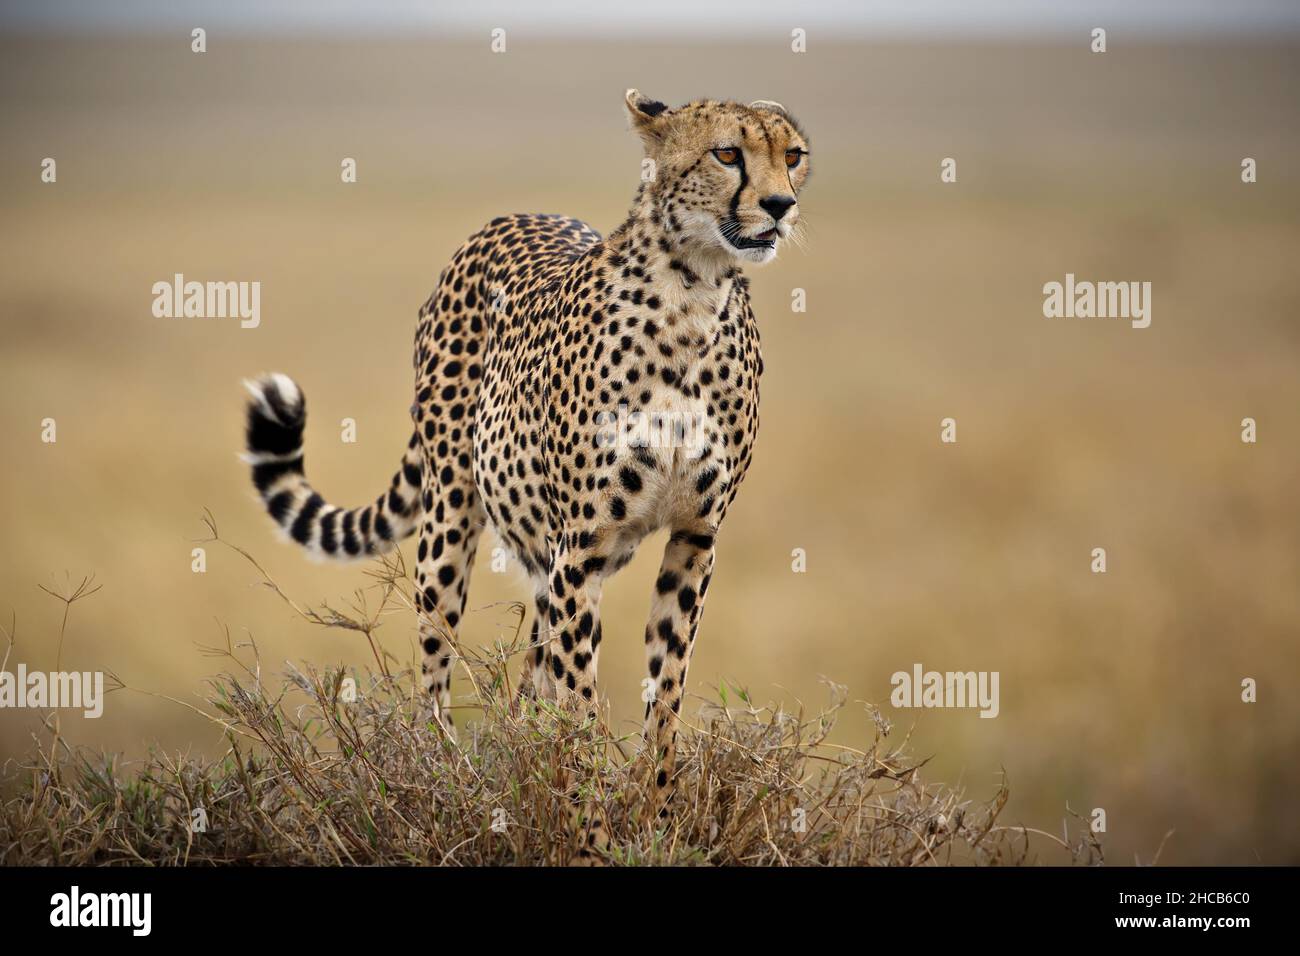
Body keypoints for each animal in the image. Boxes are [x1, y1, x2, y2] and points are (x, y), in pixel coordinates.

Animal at [241, 89, 810, 816]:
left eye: (792, 156)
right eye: (728, 153)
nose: (779, 205)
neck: (694, 292)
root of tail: (510, 216)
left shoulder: (693, 536)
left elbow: (665, 693)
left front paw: (654, 814)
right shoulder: (581, 546)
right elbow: (582, 705)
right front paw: (590, 821)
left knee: (532, 680)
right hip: (453, 521)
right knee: (437, 669)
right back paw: (447, 775)